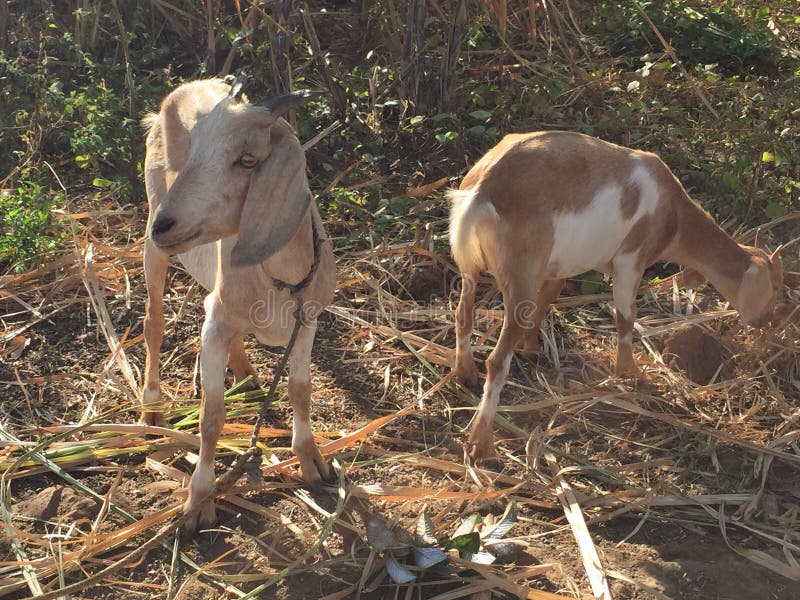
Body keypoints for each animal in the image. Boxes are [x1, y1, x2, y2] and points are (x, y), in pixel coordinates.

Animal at [142, 78, 335, 529]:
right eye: (193, 151)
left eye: (248, 160)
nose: (165, 225)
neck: (277, 278)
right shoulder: (213, 325)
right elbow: (211, 417)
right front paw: (198, 501)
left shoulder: (307, 321)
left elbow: (301, 391)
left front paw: (312, 461)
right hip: (152, 244)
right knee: (153, 320)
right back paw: (152, 406)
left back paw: (246, 375)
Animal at [449, 131, 784, 464]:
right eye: (774, 286)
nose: (766, 320)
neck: (673, 215)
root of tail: (485, 188)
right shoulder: (630, 260)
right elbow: (625, 316)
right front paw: (630, 373)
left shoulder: (560, 264)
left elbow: (548, 297)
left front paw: (531, 348)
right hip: (521, 270)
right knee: (497, 360)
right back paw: (481, 444)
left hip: (471, 266)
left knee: (463, 313)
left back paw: (465, 374)